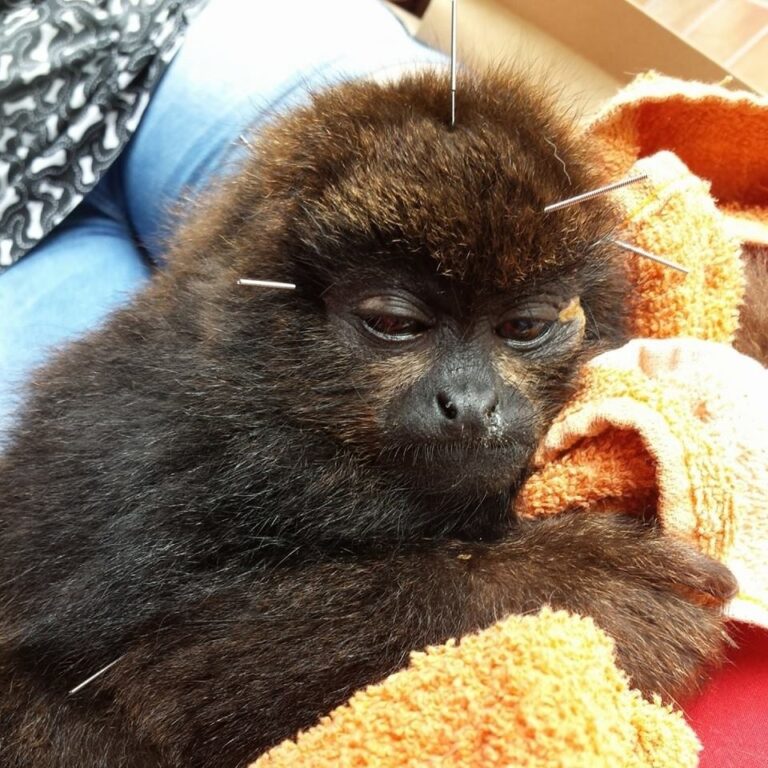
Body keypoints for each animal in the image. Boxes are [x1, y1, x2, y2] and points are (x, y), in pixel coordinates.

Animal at [0, 69, 738, 768]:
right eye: (395, 323)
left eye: (525, 327)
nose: (470, 402)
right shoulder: (163, 442)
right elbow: (156, 671)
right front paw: (586, 587)